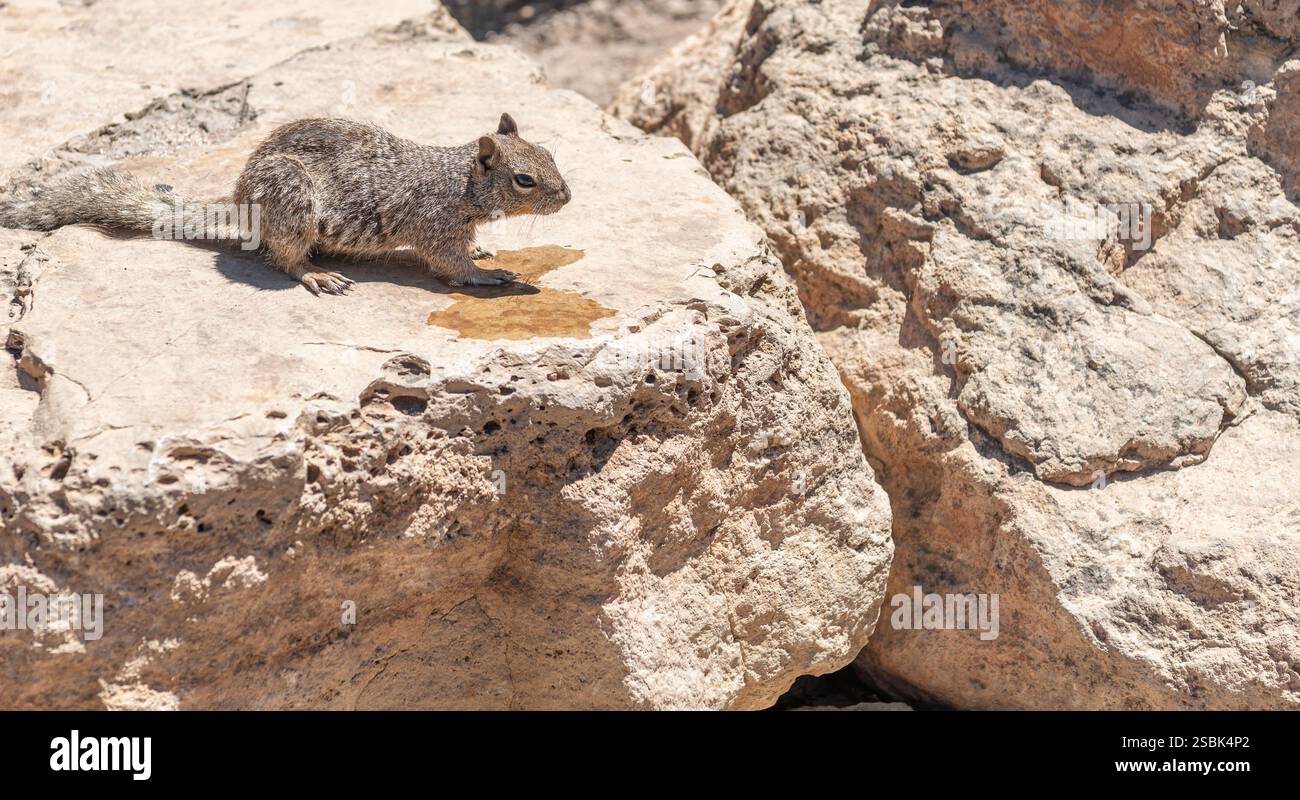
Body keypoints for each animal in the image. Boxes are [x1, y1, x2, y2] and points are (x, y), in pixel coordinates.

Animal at [0, 113, 571, 295]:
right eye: (524, 180)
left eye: (549, 152)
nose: (567, 195)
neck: (462, 183)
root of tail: (238, 202)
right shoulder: (435, 226)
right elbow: (450, 266)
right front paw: (488, 276)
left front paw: (483, 252)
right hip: (292, 202)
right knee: (284, 259)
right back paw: (316, 275)